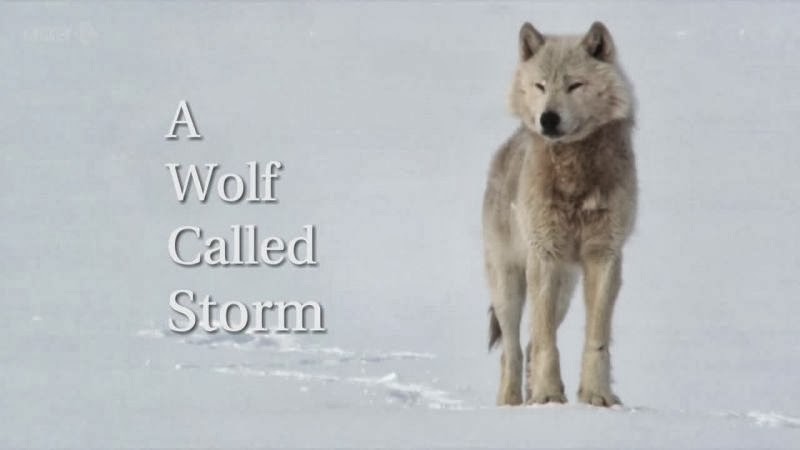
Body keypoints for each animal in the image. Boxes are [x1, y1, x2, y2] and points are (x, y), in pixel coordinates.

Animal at [483, 21, 636, 407]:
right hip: (509, 287)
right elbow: (546, 343)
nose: (548, 119)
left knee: (528, 343)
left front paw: (597, 396)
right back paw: (511, 402)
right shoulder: (545, 255)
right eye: (540, 86)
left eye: (574, 85)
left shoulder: (605, 256)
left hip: (566, 288)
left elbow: (596, 339)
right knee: (512, 348)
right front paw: (549, 395)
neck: (573, 174)